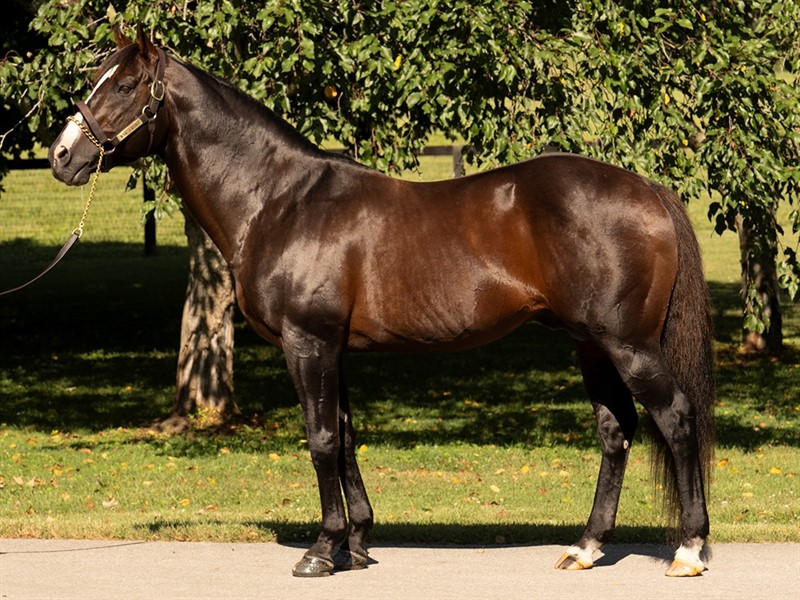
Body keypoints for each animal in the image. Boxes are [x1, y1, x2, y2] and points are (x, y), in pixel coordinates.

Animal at [49, 27, 715, 578]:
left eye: (125, 85)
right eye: (97, 77)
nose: (61, 157)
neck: (277, 200)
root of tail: (648, 188)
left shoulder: (307, 343)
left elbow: (320, 439)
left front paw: (321, 552)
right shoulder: (333, 349)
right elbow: (343, 436)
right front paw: (358, 544)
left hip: (627, 344)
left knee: (676, 417)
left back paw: (688, 550)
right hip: (590, 344)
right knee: (616, 430)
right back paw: (586, 547)